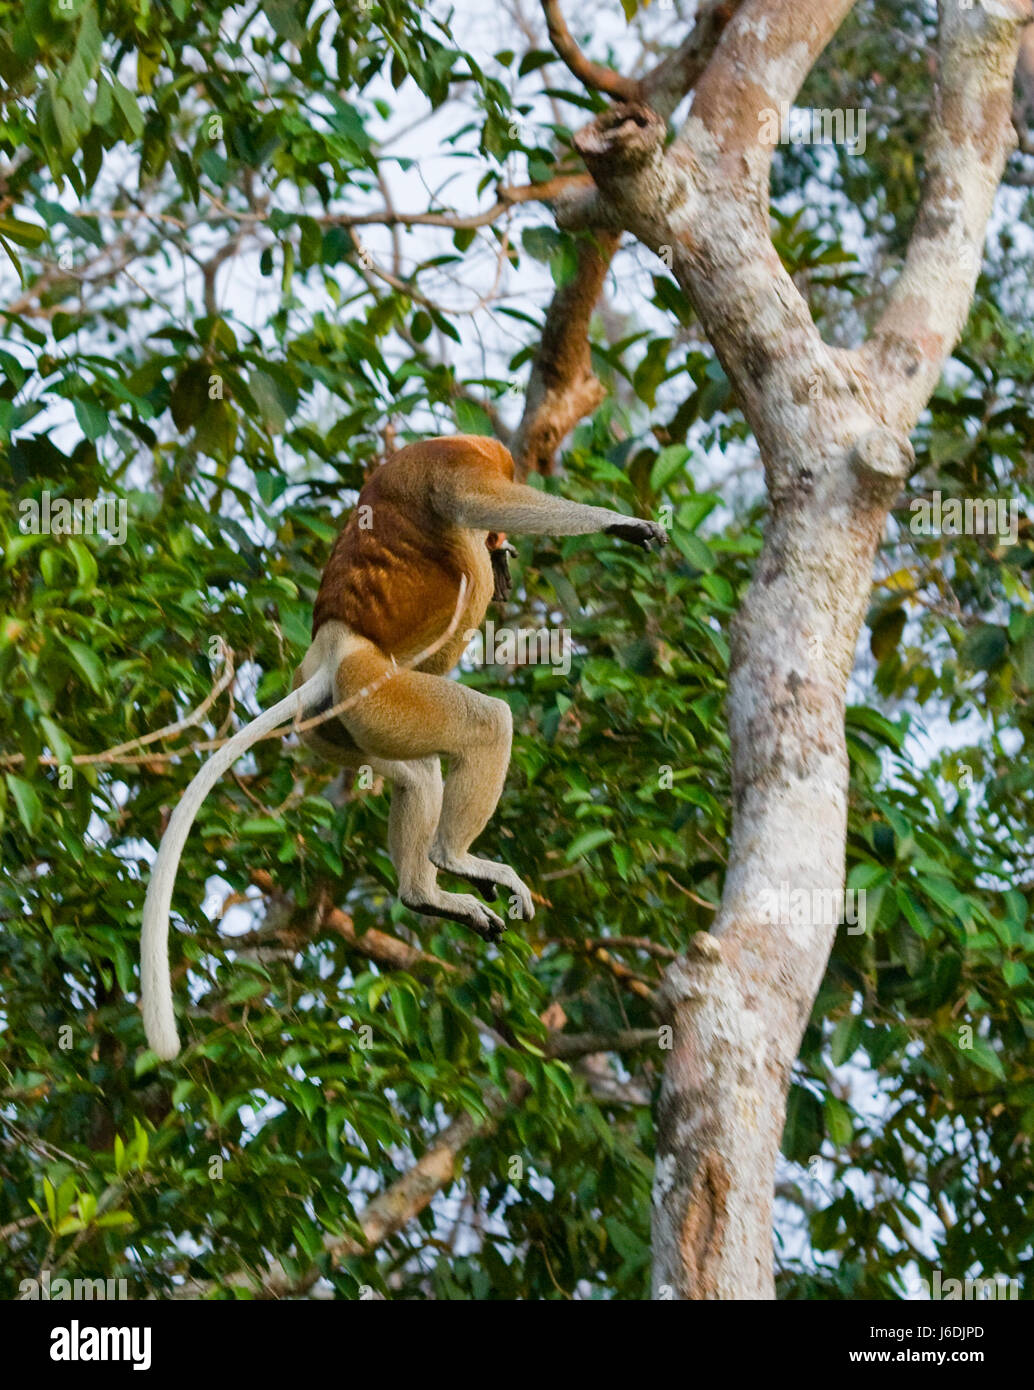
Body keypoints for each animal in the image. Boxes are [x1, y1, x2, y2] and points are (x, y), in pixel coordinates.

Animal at [141, 434, 667, 1059]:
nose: (501, 554)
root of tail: (332, 654)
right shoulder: (455, 468)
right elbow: (481, 500)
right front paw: (624, 524)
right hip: (376, 690)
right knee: (487, 724)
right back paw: (456, 859)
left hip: (343, 725)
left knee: (416, 776)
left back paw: (425, 894)